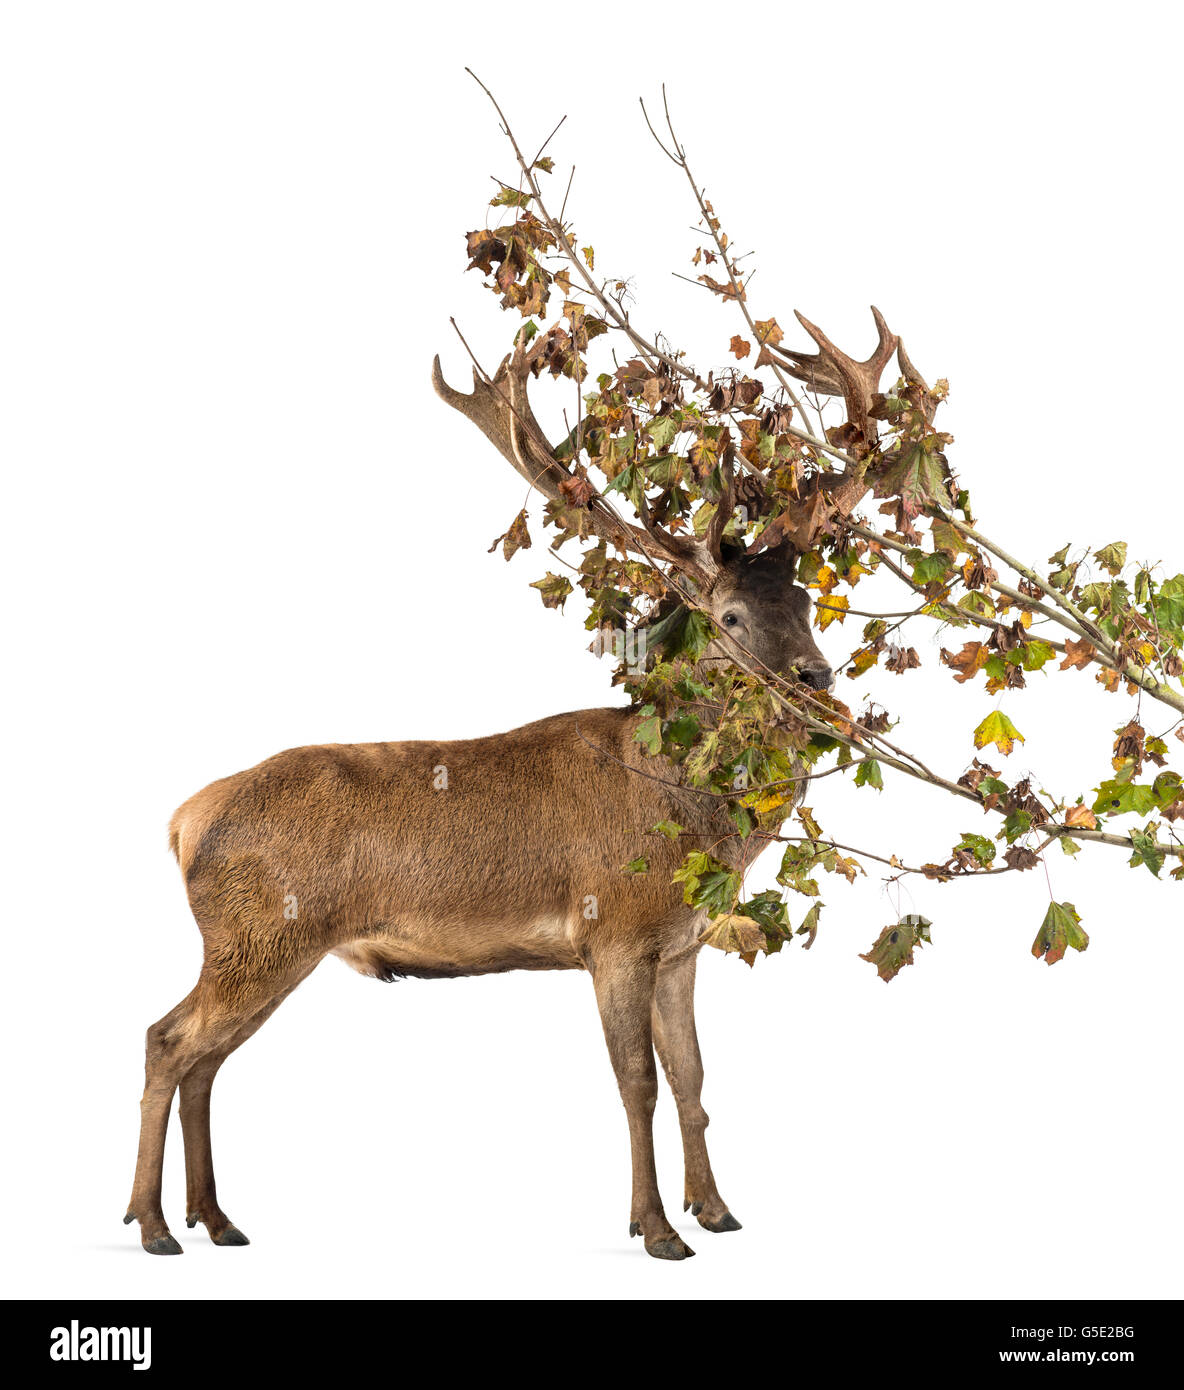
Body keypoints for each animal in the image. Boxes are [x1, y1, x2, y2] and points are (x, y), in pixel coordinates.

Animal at [126, 309, 918, 1260]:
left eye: (804, 603)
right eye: (728, 616)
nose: (816, 679)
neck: (691, 818)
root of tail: (182, 820)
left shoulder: (681, 944)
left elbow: (694, 1077)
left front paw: (718, 1209)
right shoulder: (611, 929)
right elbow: (638, 1084)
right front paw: (656, 1229)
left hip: (264, 944)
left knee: (204, 1058)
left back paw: (215, 1219)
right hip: (260, 932)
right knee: (167, 1039)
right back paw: (153, 1225)